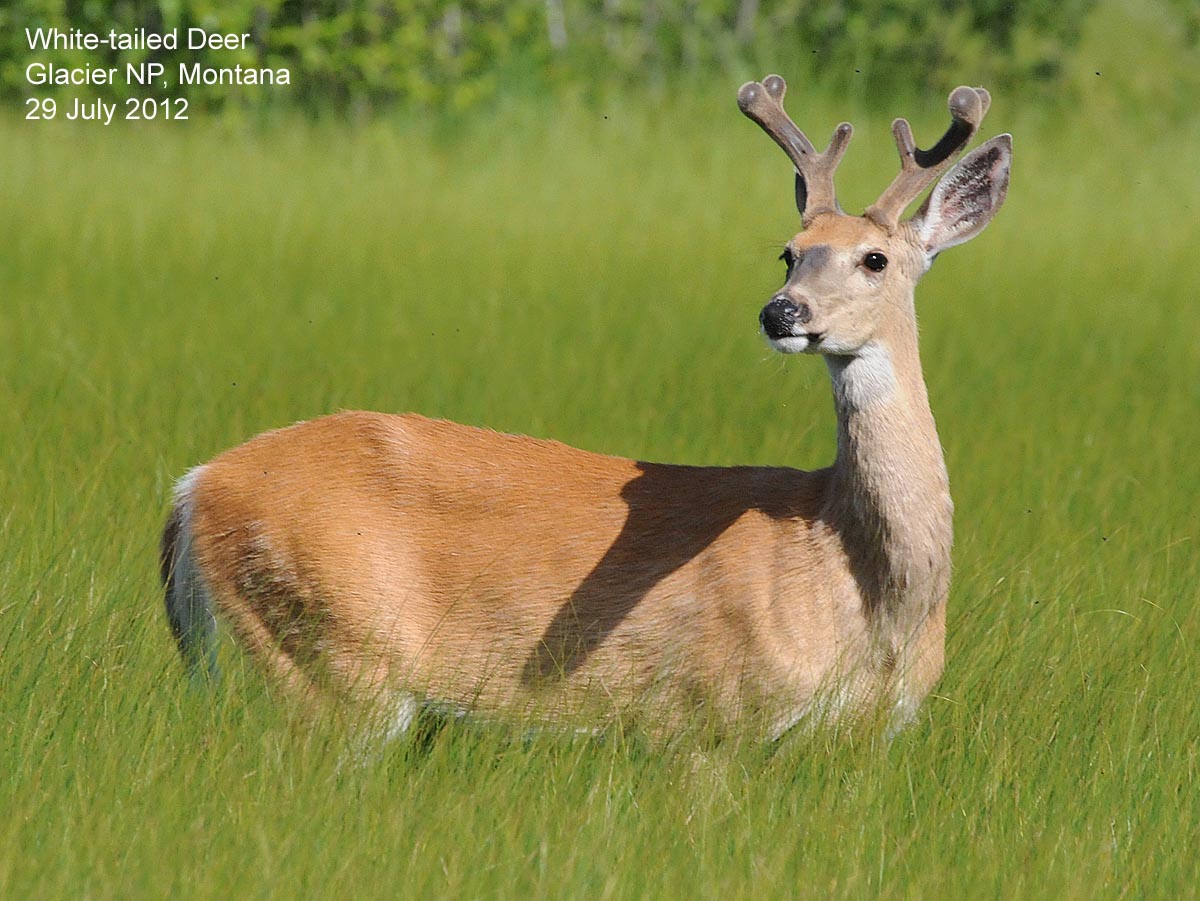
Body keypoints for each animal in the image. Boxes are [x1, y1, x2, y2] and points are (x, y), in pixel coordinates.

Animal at [160, 75, 1011, 740]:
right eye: (788, 252)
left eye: (876, 259)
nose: (782, 312)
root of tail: (192, 487)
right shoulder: (706, 715)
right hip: (331, 655)